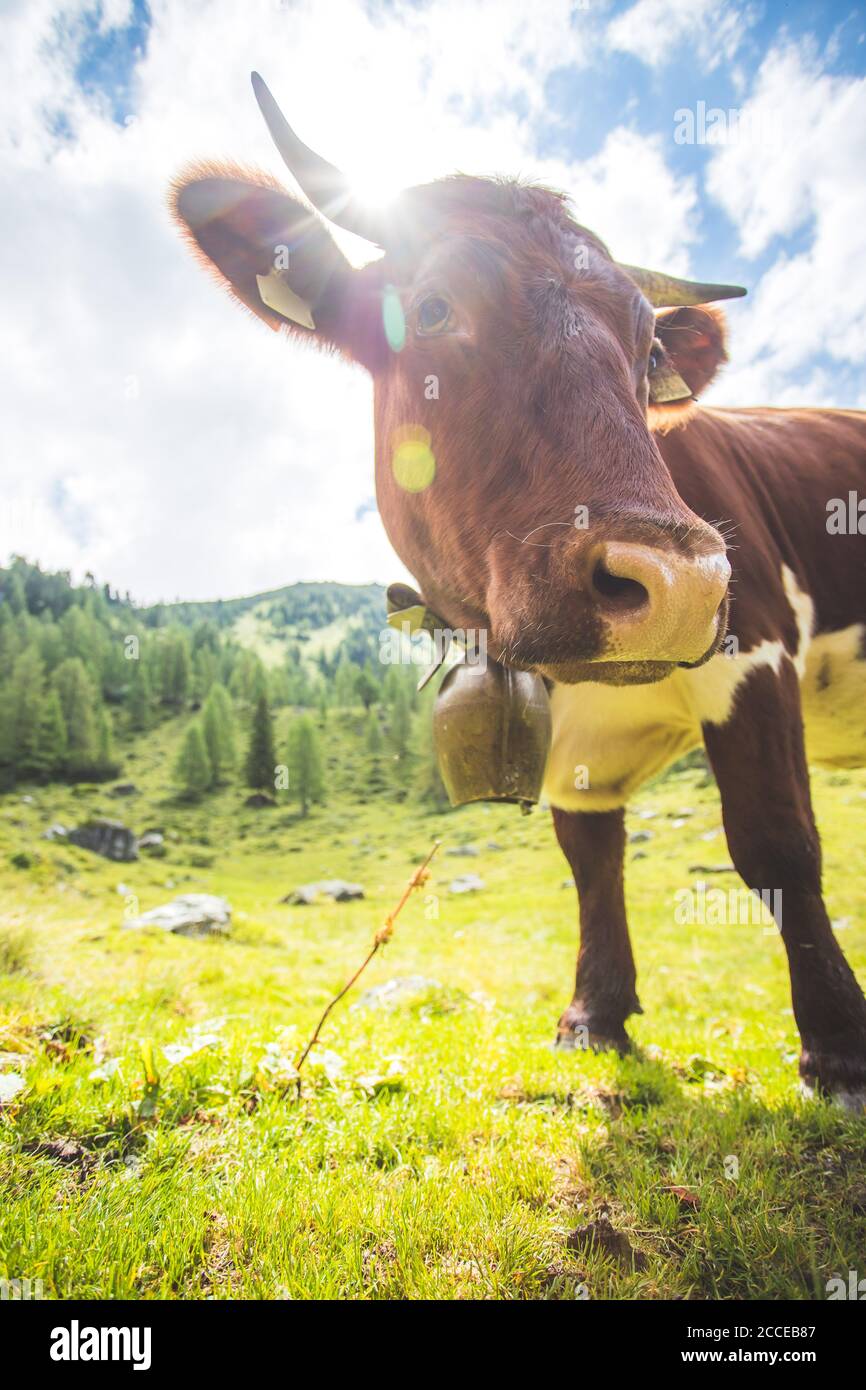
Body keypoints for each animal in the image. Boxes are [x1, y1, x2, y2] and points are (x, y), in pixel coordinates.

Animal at [172, 74, 866, 1107]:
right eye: (432, 309)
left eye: (648, 352)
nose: (676, 584)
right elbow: (591, 860)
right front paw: (595, 1016)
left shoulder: (759, 648)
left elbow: (779, 842)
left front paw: (839, 1051)